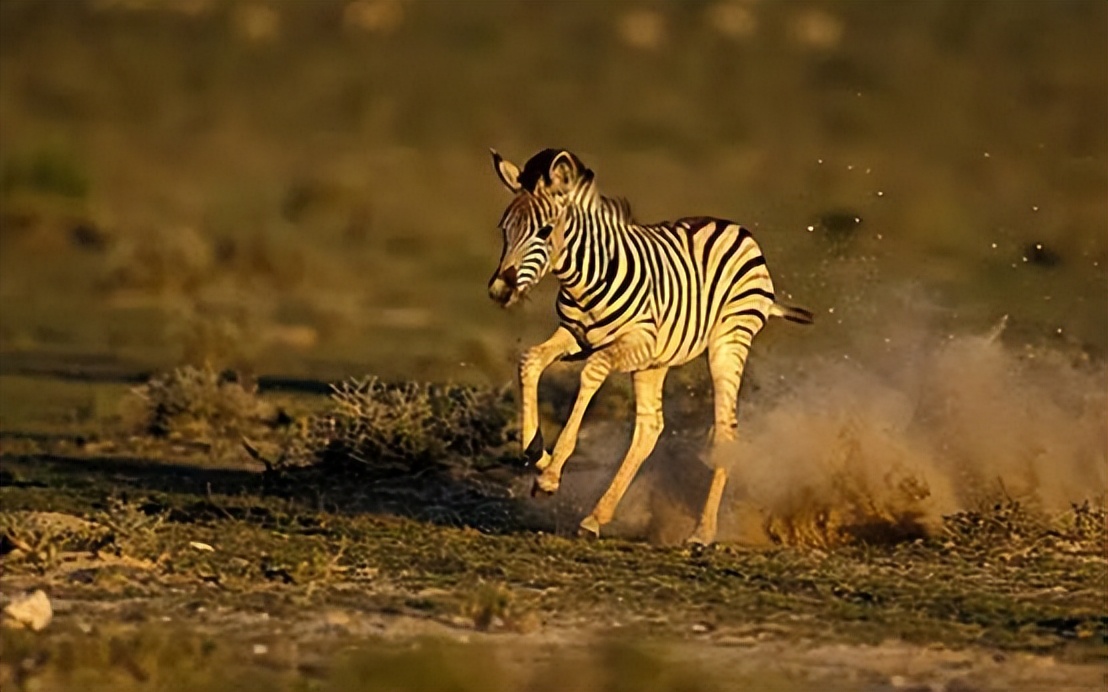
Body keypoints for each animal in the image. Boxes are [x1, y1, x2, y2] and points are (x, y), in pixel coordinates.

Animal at [487, 148, 812, 545]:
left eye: (544, 231)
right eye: (504, 229)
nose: (500, 291)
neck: (585, 280)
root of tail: (732, 227)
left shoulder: (637, 342)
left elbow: (592, 373)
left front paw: (549, 476)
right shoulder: (574, 335)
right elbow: (530, 361)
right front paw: (538, 453)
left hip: (727, 342)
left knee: (725, 431)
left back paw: (702, 533)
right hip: (657, 361)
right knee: (649, 428)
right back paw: (595, 517)